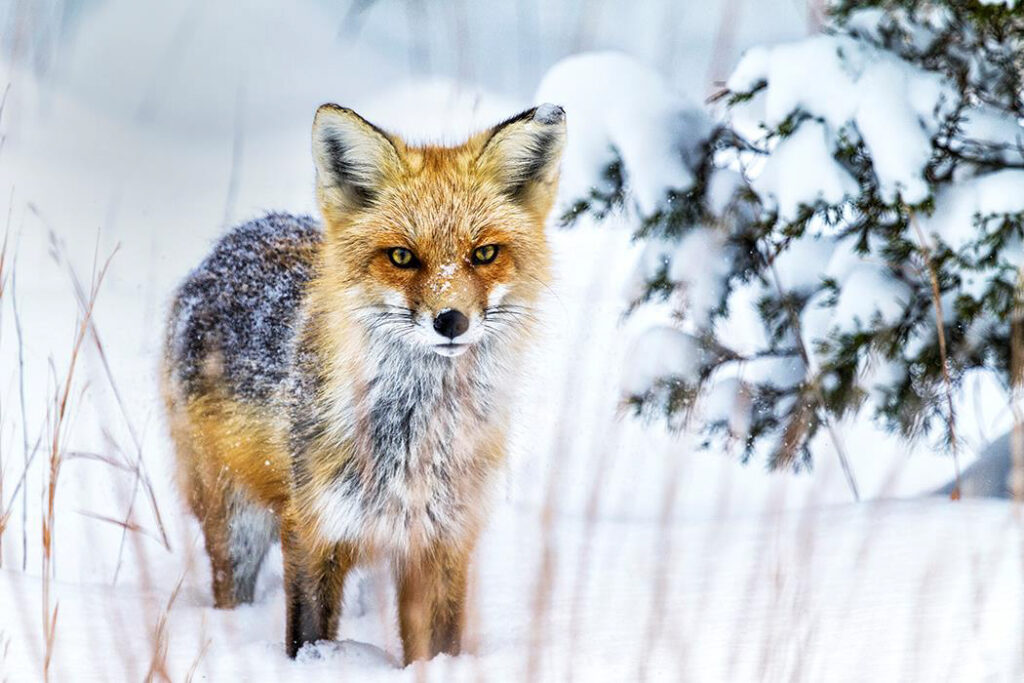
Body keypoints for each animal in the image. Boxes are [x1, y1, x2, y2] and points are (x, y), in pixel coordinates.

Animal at [161, 101, 566, 663]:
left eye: (484, 254)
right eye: (401, 256)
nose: (451, 320)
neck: (417, 438)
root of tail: (235, 238)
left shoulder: (443, 538)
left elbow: (437, 646)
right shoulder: (314, 528)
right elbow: (307, 638)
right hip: (235, 521)